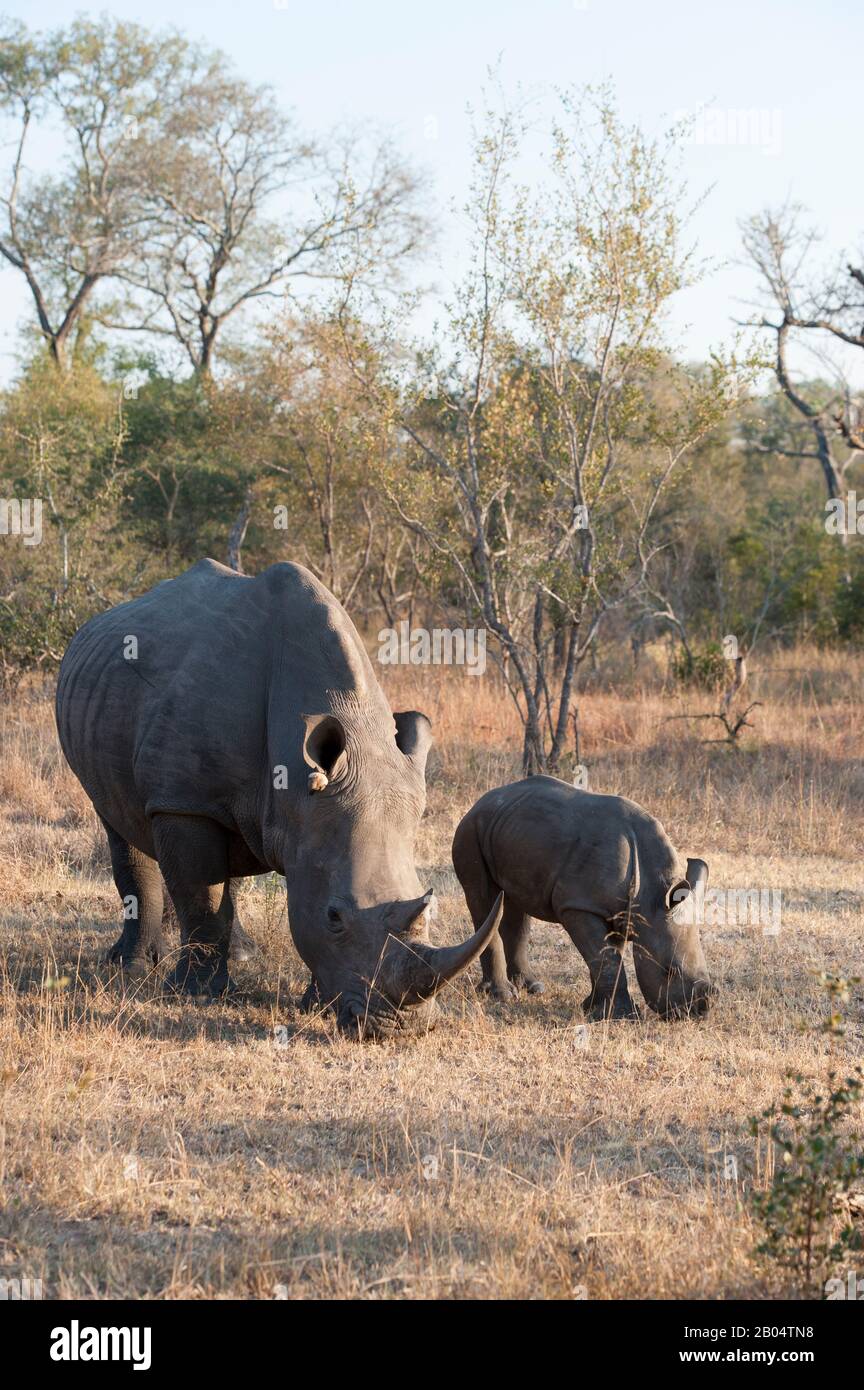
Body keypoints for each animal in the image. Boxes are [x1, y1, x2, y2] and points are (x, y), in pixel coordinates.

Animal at [55, 559, 501, 1038]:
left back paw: (239, 955)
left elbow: (275, 888)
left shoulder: (311, 819)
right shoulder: (184, 801)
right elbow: (201, 898)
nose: (400, 1027)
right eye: (334, 917)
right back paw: (133, 967)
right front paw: (197, 995)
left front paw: (315, 1006)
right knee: (120, 826)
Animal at [452, 776, 715, 1020]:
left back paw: (532, 988)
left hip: (511, 830)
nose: (699, 1011)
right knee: (483, 901)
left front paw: (592, 1008)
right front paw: (623, 1016)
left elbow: (605, 956)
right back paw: (502, 995)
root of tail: (482, 800)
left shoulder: (617, 911)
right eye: (669, 970)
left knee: (515, 907)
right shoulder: (579, 906)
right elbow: (606, 959)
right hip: (471, 830)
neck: (651, 896)